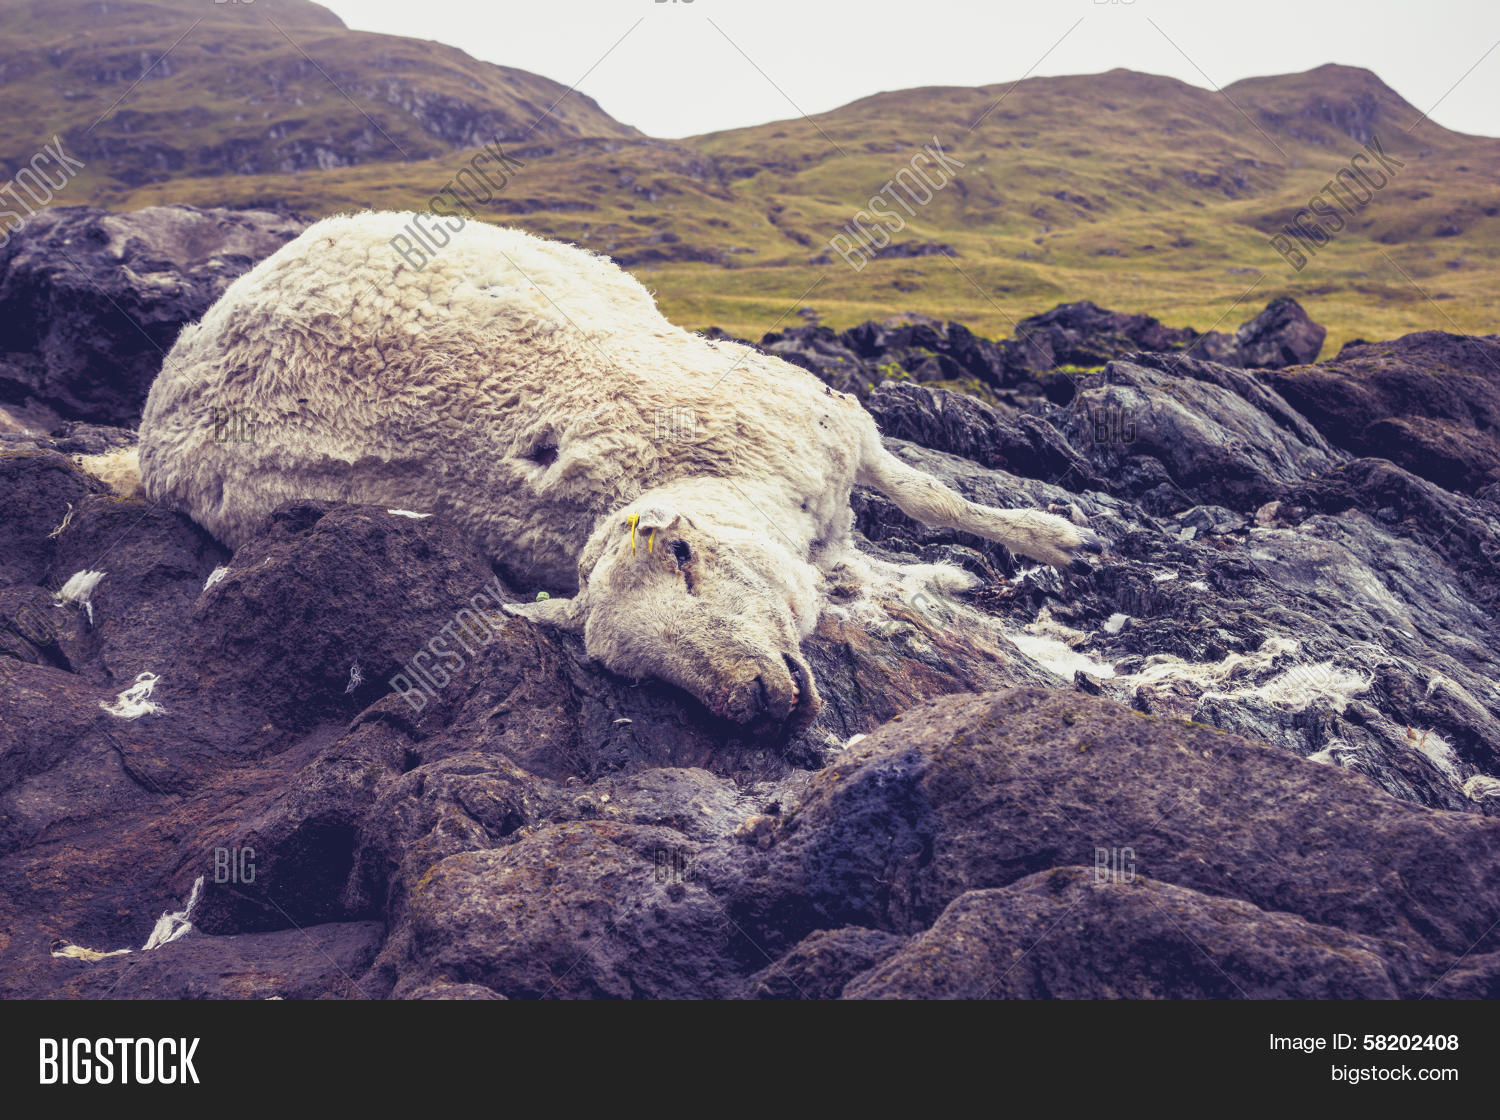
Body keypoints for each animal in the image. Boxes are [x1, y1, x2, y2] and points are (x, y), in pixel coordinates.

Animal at [136, 211, 1100, 726]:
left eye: (685, 561)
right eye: (633, 673)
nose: (754, 699)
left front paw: (1055, 539)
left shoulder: (835, 424)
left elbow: (931, 495)